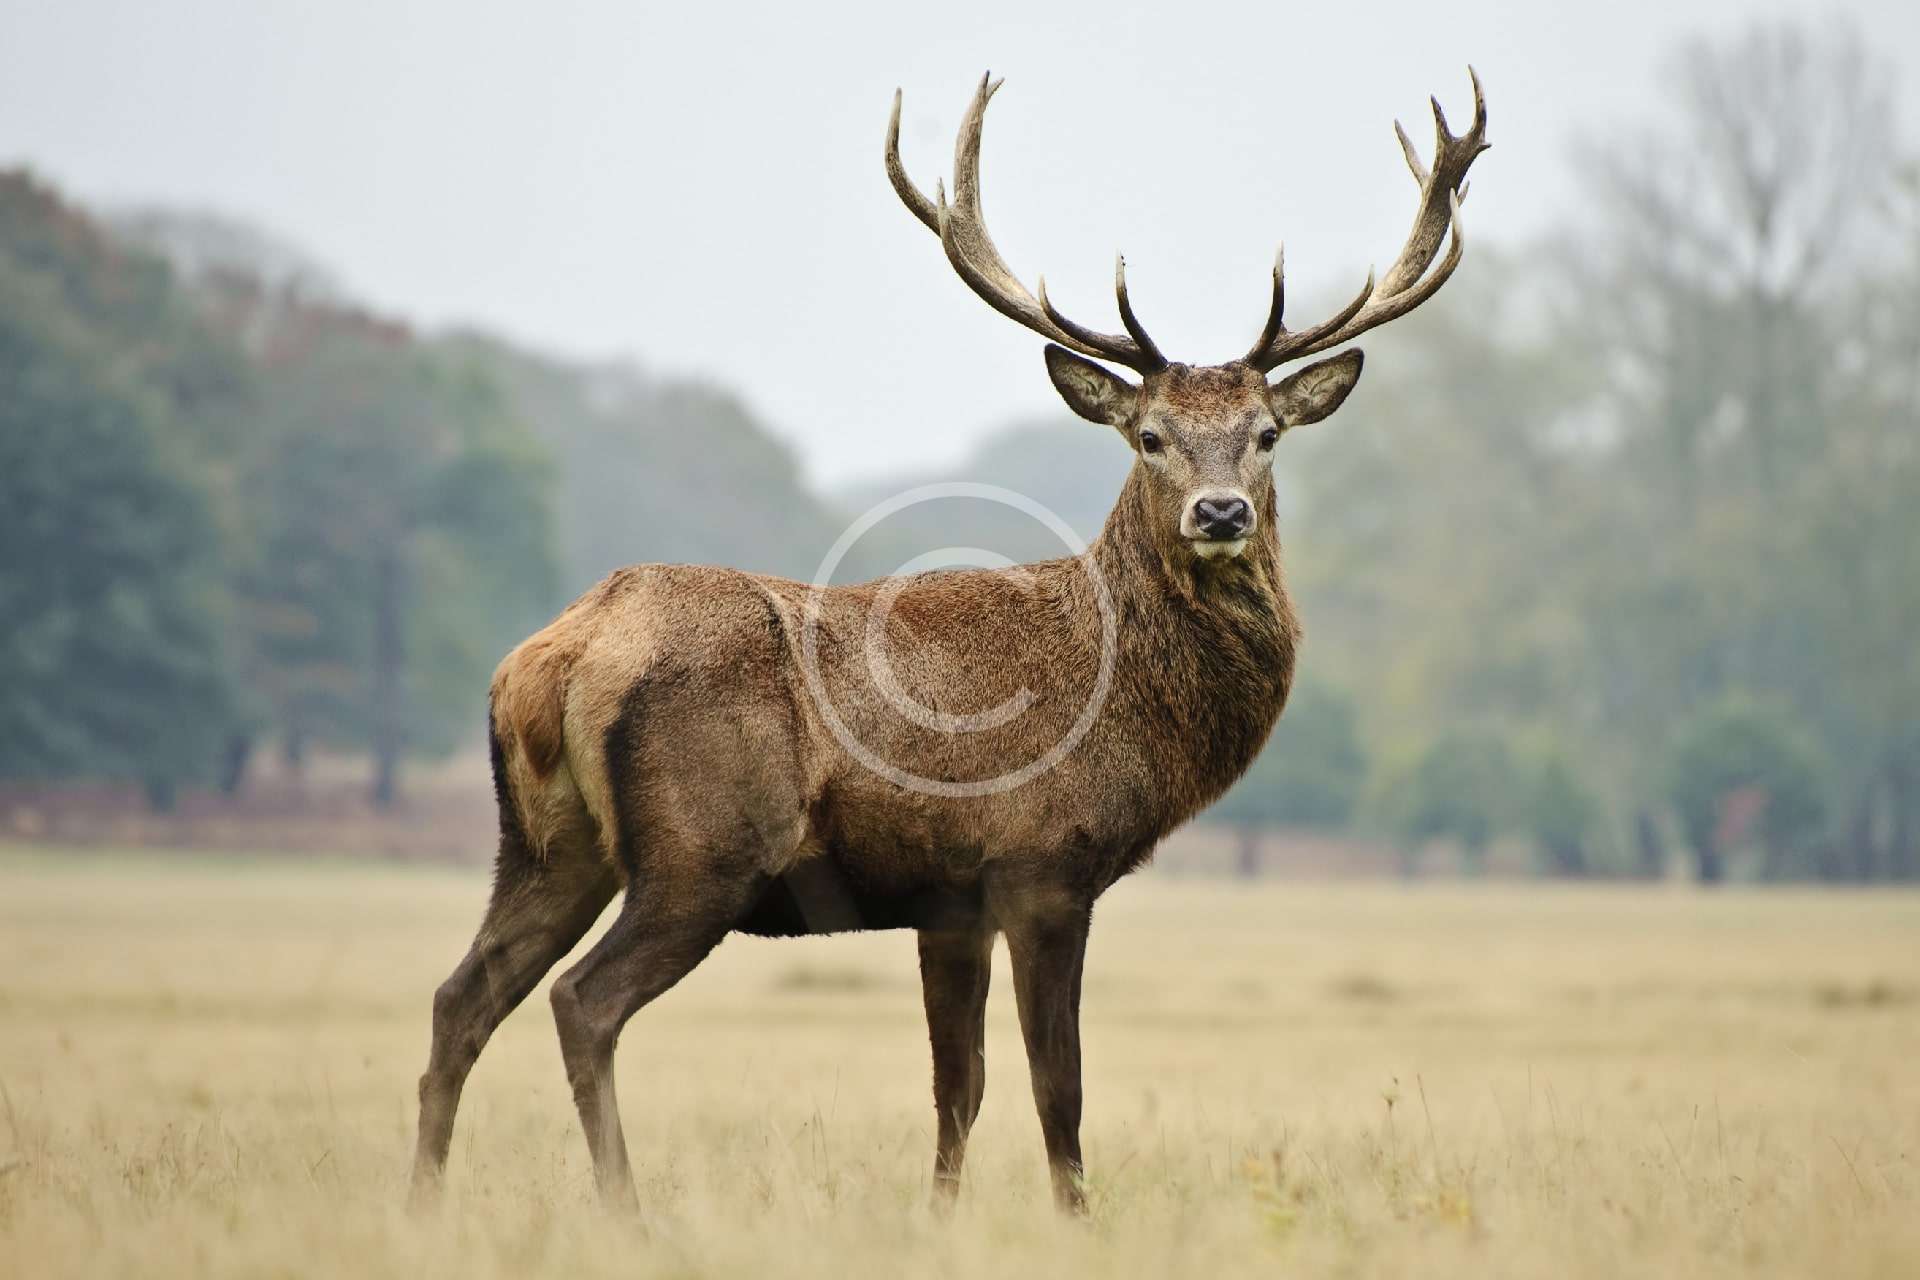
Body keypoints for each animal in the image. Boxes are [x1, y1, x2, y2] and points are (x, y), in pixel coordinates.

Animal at [408, 69, 1488, 1216]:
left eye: (1268, 434)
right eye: (1149, 436)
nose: (1222, 511)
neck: (1129, 706)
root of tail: (554, 657)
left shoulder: (948, 901)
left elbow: (956, 1088)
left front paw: (940, 1217)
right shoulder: (1042, 864)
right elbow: (1058, 1085)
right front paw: (1075, 1218)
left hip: (546, 844)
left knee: (459, 997)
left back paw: (423, 1203)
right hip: (702, 849)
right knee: (582, 1001)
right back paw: (626, 1211)